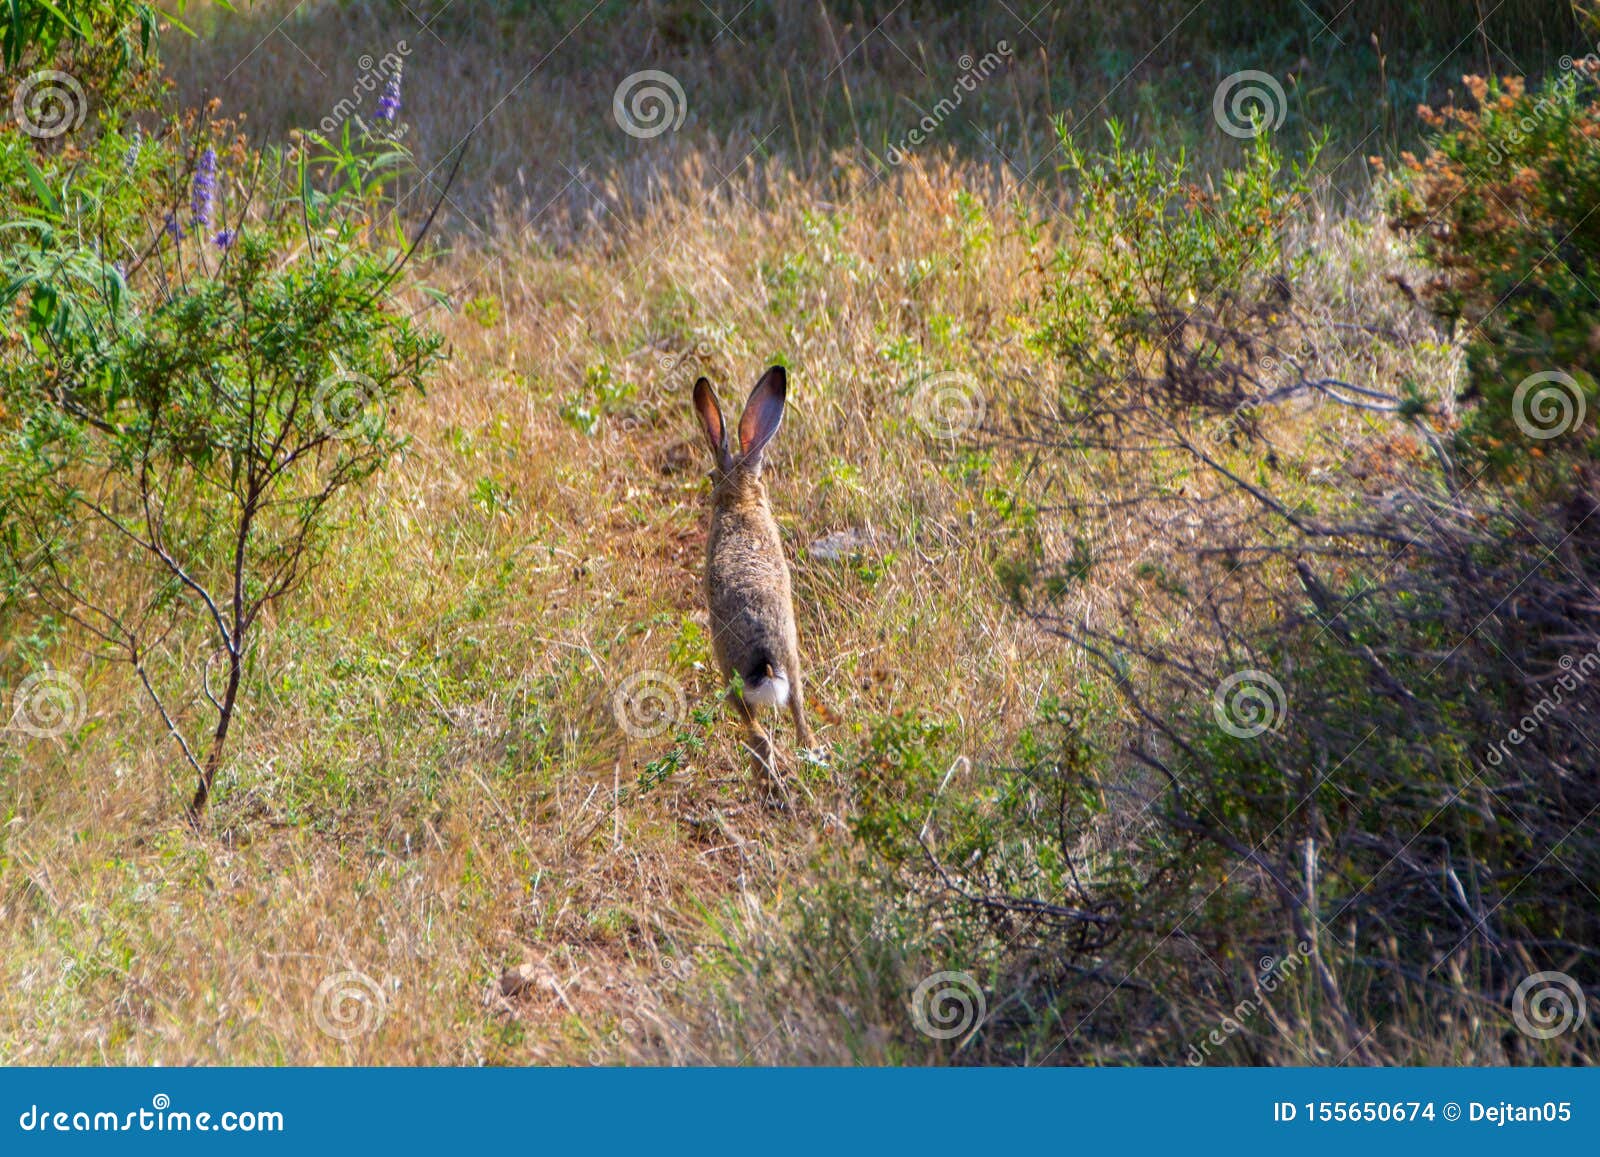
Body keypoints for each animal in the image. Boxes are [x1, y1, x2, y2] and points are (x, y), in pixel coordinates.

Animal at [692, 365, 814, 789]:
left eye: (711, 475)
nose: (710, 487)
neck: (741, 500)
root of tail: (764, 658)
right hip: (792, 663)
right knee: (802, 724)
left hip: (731, 677)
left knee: (758, 735)